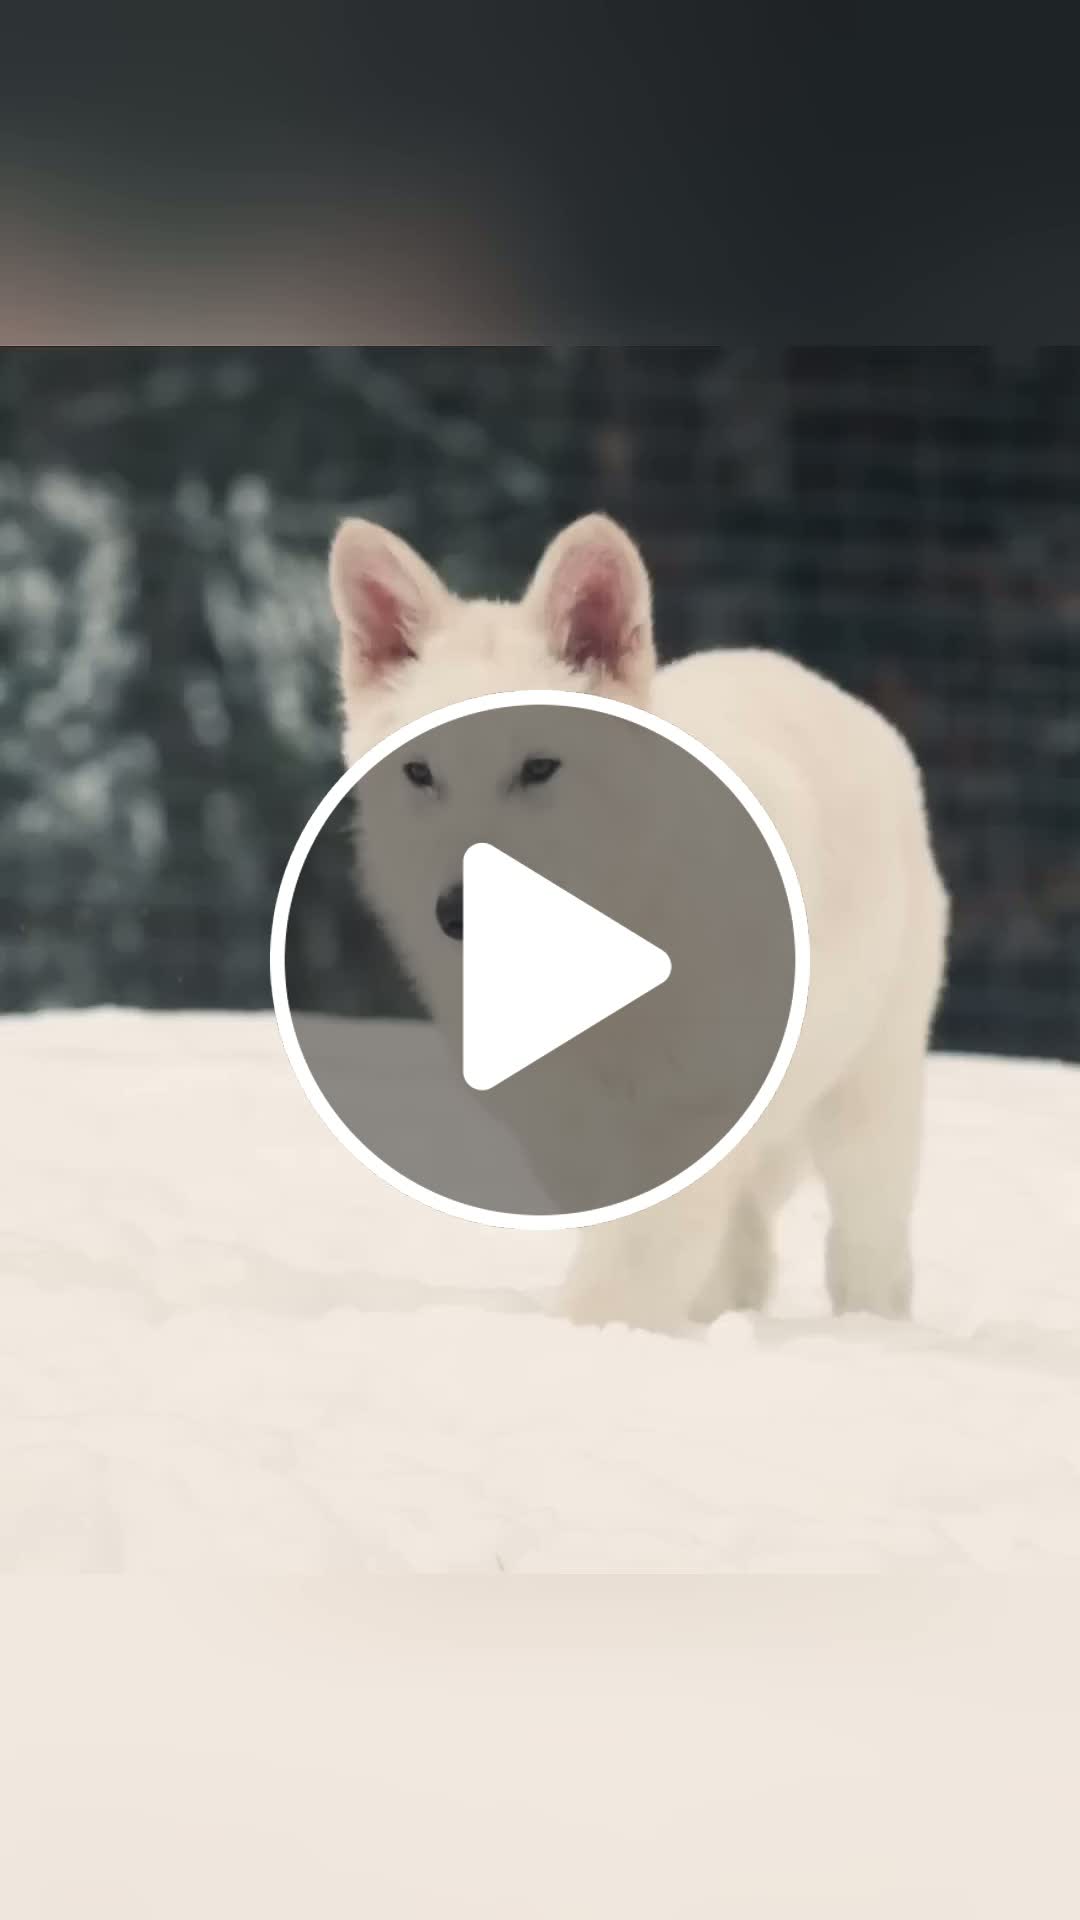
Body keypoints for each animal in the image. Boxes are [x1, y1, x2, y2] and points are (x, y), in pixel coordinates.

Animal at [329, 512, 949, 1331]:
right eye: (421, 774)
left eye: (538, 769)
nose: (458, 911)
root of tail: (803, 676)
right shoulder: (563, 1133)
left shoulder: (689, 1119)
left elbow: (630, 1265)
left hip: (866, 1100)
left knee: (867, 1250)